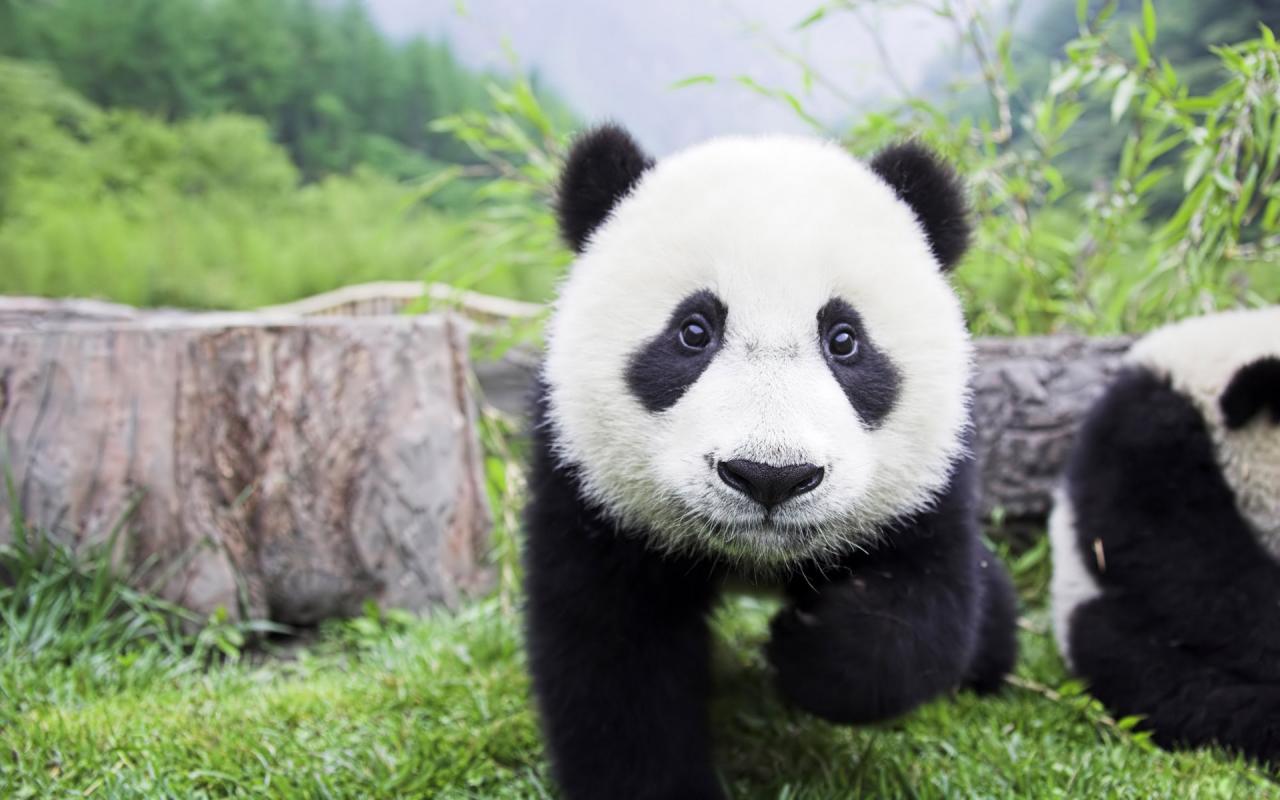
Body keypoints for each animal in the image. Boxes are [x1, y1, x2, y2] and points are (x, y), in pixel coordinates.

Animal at [524, 124, 1019, 800]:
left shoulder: (932, 480)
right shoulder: (586, 486)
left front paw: (808, 648)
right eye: (693, 331)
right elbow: (613, 659)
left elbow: (925, 607)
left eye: (844, 340)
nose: (770, 476)